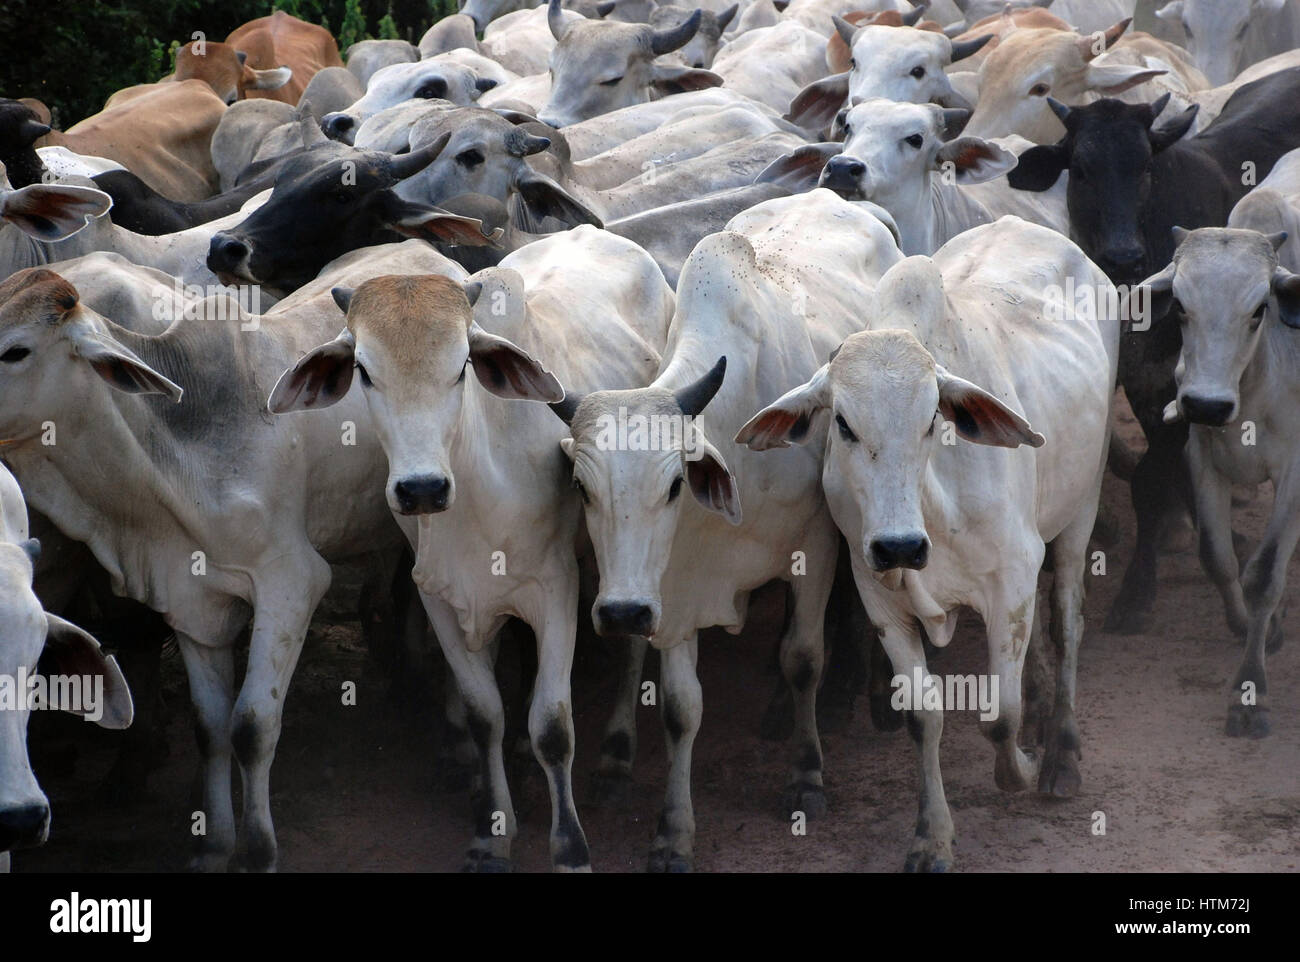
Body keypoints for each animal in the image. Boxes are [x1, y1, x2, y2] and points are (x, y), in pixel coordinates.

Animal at [266, 226, 673, 869]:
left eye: (462, 367)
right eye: (364, 371)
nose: (422, 489)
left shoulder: (556, 588)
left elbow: (553, 726)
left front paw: (570, 846)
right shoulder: (440, 597)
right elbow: (486, 714)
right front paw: (490, 828)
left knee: (631, 644)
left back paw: (616, 756)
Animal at [550, 189, 902, 870]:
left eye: (674, 485)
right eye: (582, 488)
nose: (623, 610)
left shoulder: (815, 546)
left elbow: (803, 657)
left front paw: (806, 776)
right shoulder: (675, 588)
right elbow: (680, 708)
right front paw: (672, 831)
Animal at [736, 216, 1119, 869]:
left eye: (933, 419)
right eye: (843, 424)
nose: (899, 547)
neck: (932, 511)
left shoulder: (1014, 578)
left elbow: (999, 715)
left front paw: (1023, 767)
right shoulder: (880, 597)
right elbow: (924, 717)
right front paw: (931, 836)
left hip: (1082, 505)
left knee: (1067, 622)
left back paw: (1061, 753)